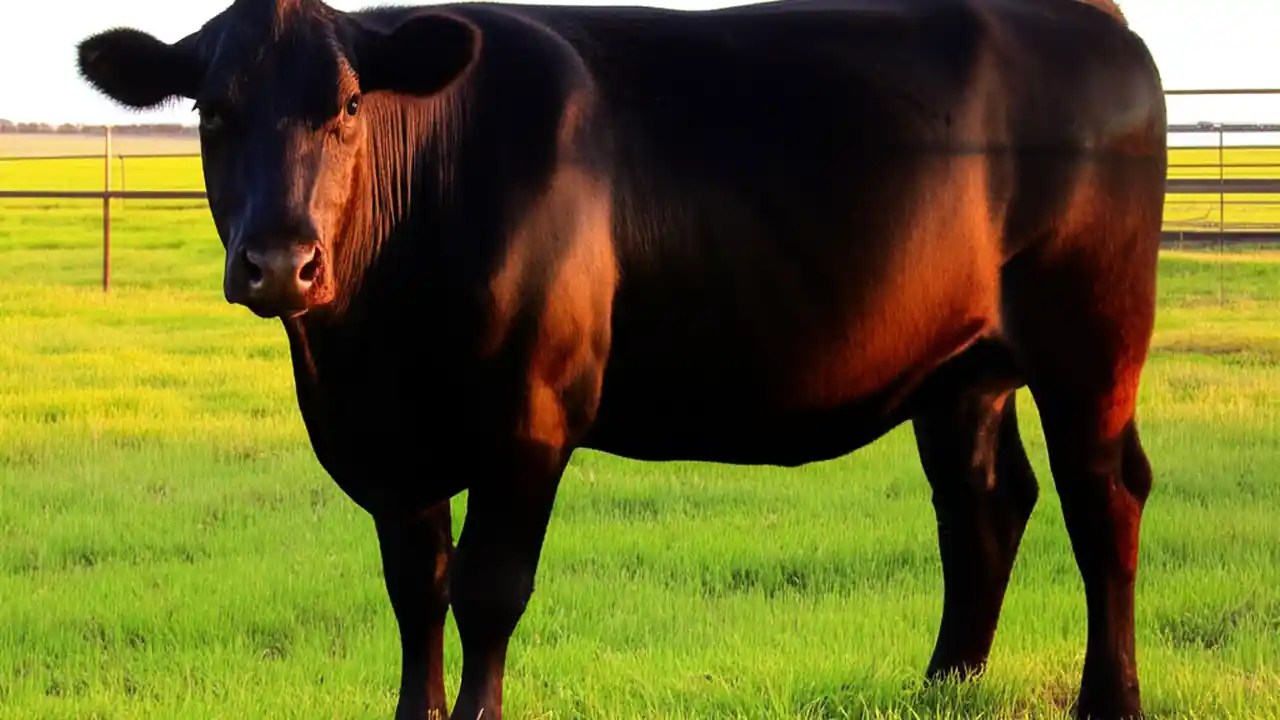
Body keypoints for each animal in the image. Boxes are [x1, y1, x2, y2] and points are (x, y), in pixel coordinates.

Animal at [76, 0, 1166, 717]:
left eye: (346, 106)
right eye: (211, 110)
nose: (280, 262)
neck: (360, 352)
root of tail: (1082, 14)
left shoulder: (530, 418)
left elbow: (486, 591)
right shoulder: (392, 446)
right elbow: (414, 592)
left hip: (1092, 336)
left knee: (1100, 497)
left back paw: (1107, 699)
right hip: (962, 368)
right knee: (984, 500)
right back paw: (946, 683)